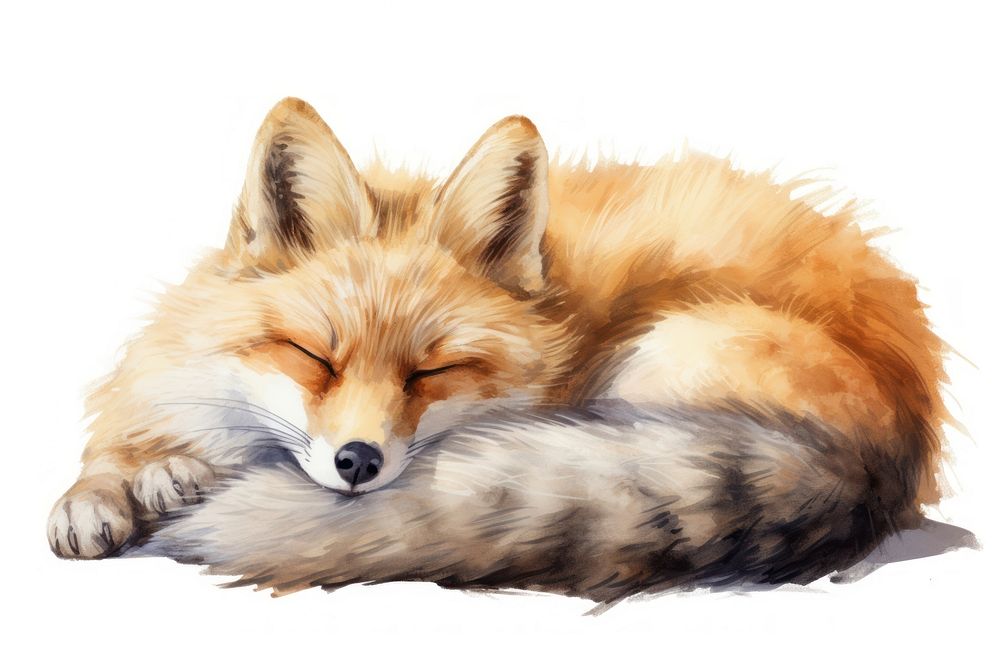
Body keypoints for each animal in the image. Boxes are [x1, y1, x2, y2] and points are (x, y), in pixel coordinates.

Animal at [49, 97, 947, 565]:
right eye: (314, 357)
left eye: (433, 371)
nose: (357, 462)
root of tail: (892, 451)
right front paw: (111, 486)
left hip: (663, 354)